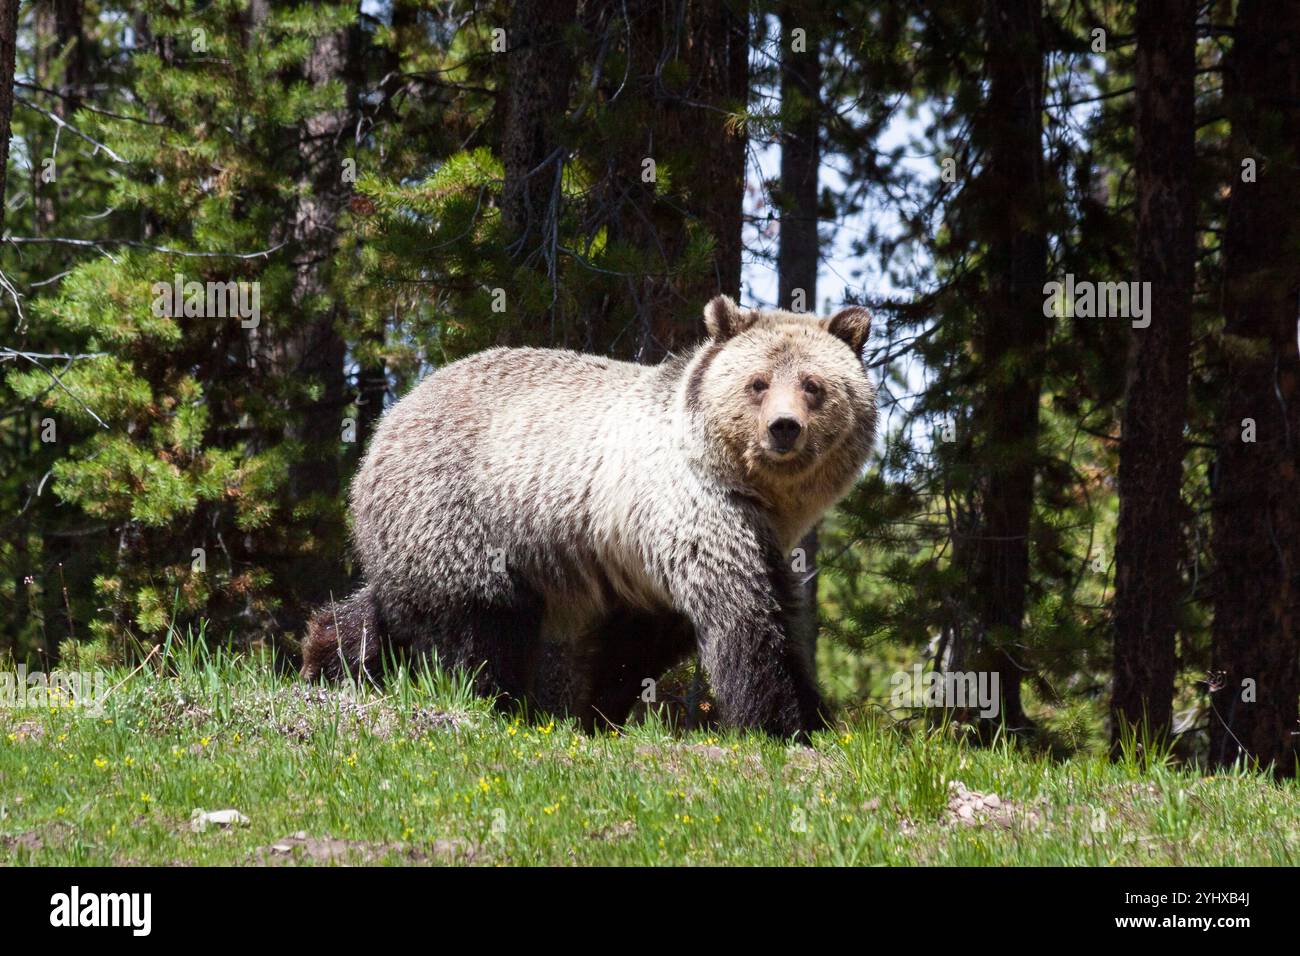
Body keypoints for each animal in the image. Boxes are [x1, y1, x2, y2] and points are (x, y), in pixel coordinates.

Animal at [302, 295, 876, 738]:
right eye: (758, 383)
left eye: (813, 385)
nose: (784, 428)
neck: (756, 492)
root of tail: (388, 421)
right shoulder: (698, 512)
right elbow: (749, 621)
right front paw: (792, 723)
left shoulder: (660, 559)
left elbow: (638, 645)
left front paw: (598, 712)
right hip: (465, 513)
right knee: (481, 625)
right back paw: (492, 701)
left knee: (390, 606)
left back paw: (325, 656)